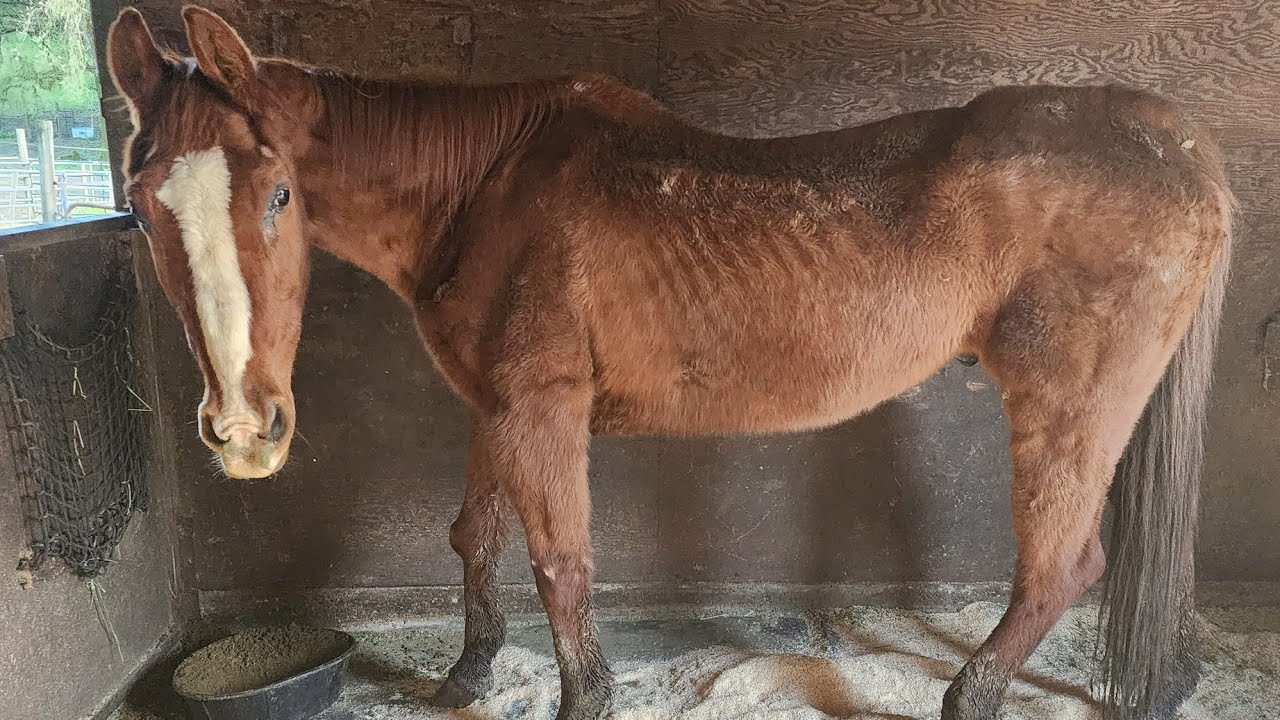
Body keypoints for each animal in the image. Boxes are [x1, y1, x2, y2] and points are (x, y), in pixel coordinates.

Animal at [107, 7, 1231, 720]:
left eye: (277, 195)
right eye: (143, 205)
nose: (244, 432)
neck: (484, 186)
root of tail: (1175, 141)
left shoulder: (541, 410)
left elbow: (560, 565)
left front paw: (584, 699)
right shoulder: (495, 408)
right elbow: (475, 537)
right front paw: (469, 674)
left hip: (1068, 411)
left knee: (1058, 568)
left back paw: (972, 697)